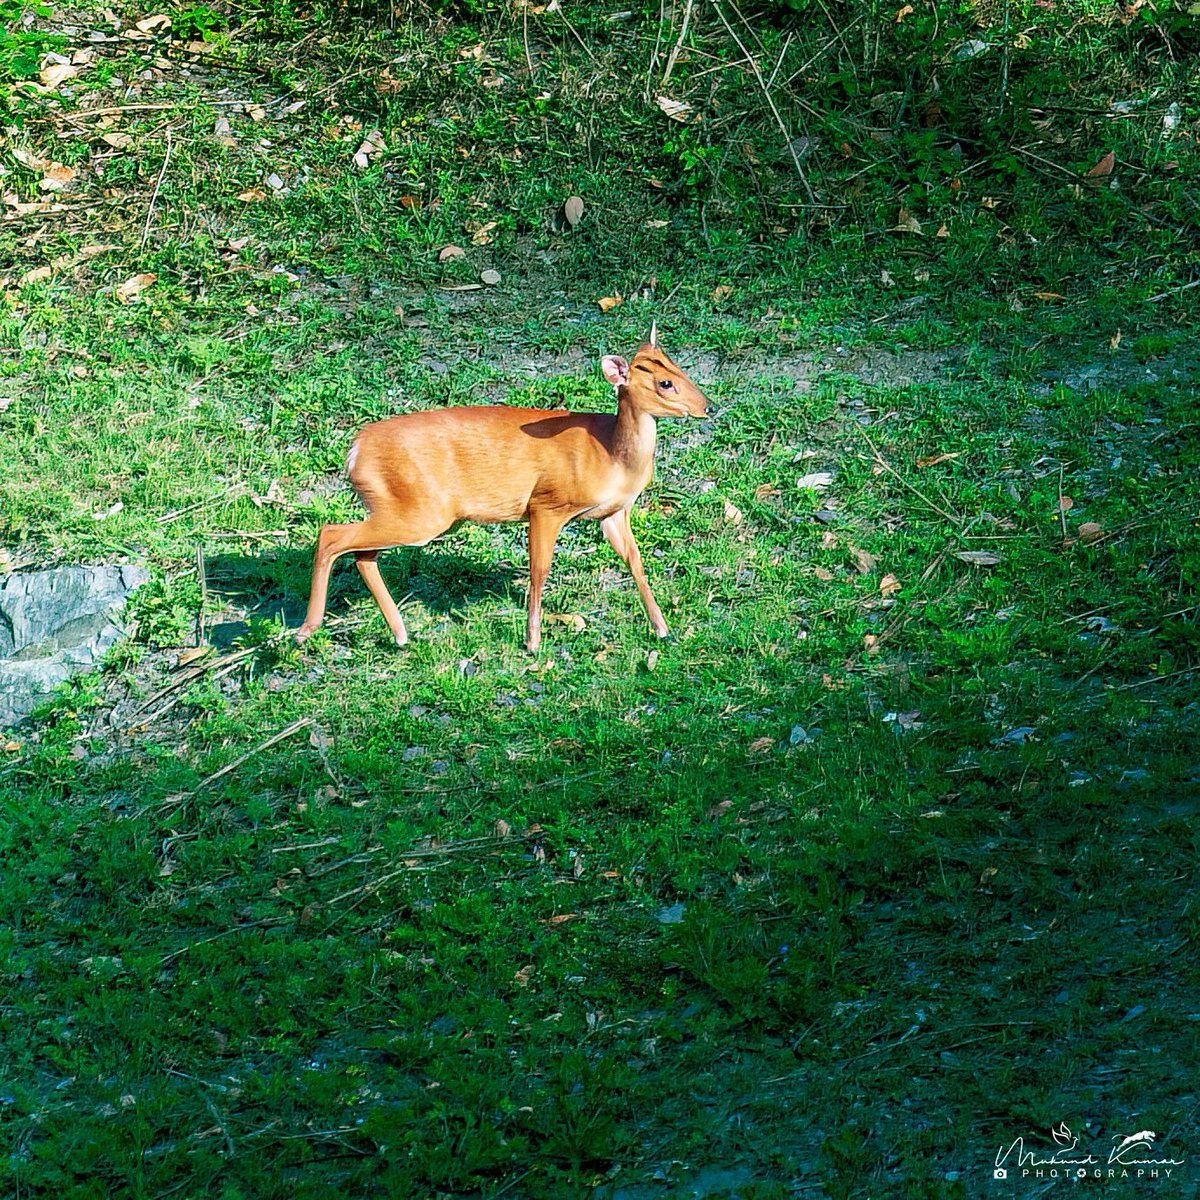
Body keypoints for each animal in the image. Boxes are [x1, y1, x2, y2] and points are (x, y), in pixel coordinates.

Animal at [295, 326, 708, 653]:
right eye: (665, 383)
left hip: (403, 509)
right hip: (419, 510)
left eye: (680, 368)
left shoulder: (614, 512)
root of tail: (354, 452)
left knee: (362, 554)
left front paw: (662, 629)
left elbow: (636, 562)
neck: (610, 453)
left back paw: (399, 634)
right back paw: (306, 630)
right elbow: (539, 568)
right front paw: (533, 641)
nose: (707, 406)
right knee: (331, 534)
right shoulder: (546, 504)